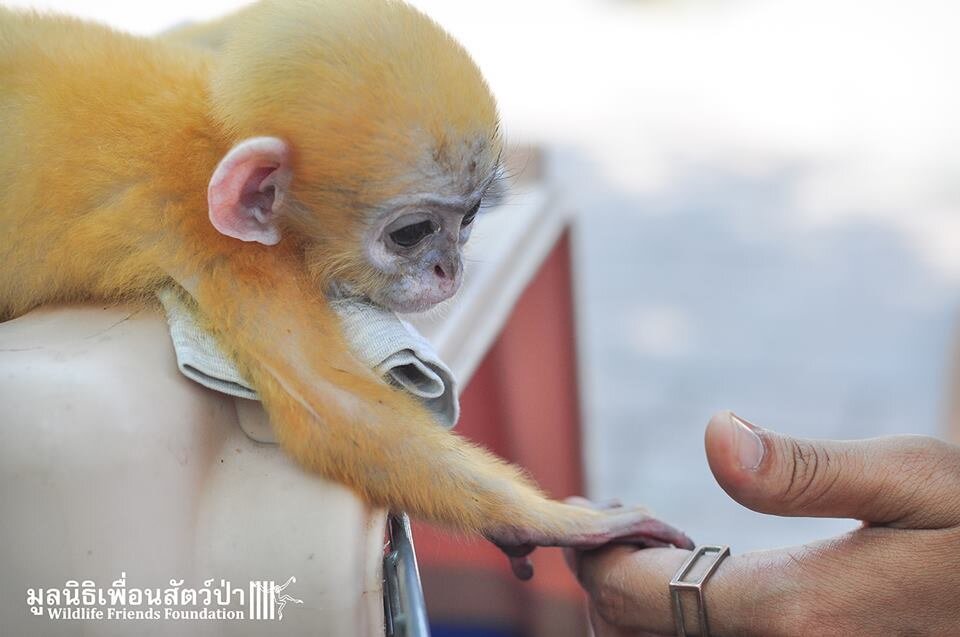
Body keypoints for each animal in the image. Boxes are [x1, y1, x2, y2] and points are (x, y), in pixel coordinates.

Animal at [0, 0, 693, 579]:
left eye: (468, 220)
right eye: (413, 233)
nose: (450, 270)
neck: (210, 136)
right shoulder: (233, 250)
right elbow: (330, 409)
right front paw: (563, 525)